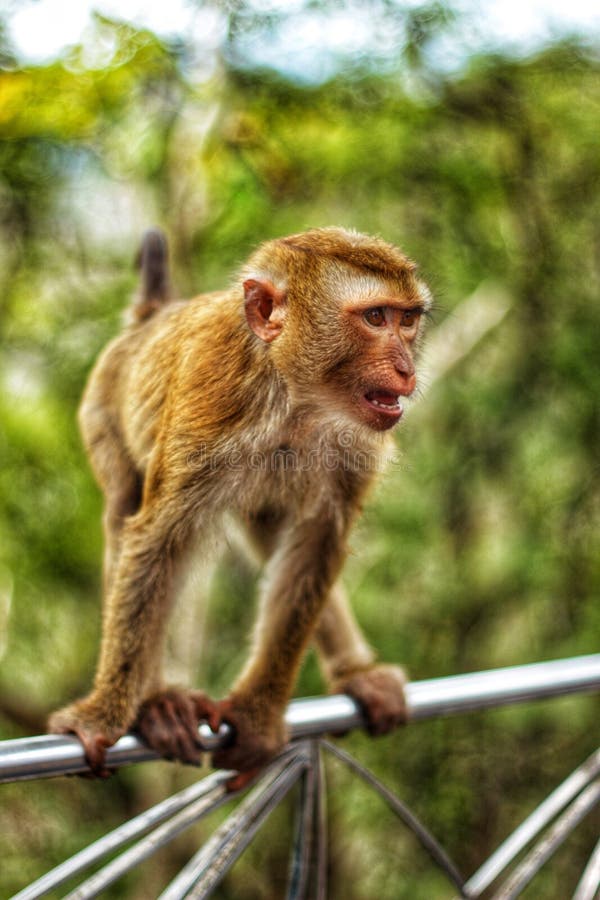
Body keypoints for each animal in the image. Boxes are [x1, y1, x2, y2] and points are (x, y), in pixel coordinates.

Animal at [48, 226, 431, 786]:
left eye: (408, 320)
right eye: (376, 318)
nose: (406, 369)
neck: (295, 399)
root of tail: (153, 317)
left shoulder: (355, 447)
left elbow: (318, 541)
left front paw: (257, 717)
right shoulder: (213, 404)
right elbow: (157, 540)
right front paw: (102, 716)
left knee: (276, 533)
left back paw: (356, 673)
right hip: (101, 410)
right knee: (125, 513)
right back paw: (156, 701)